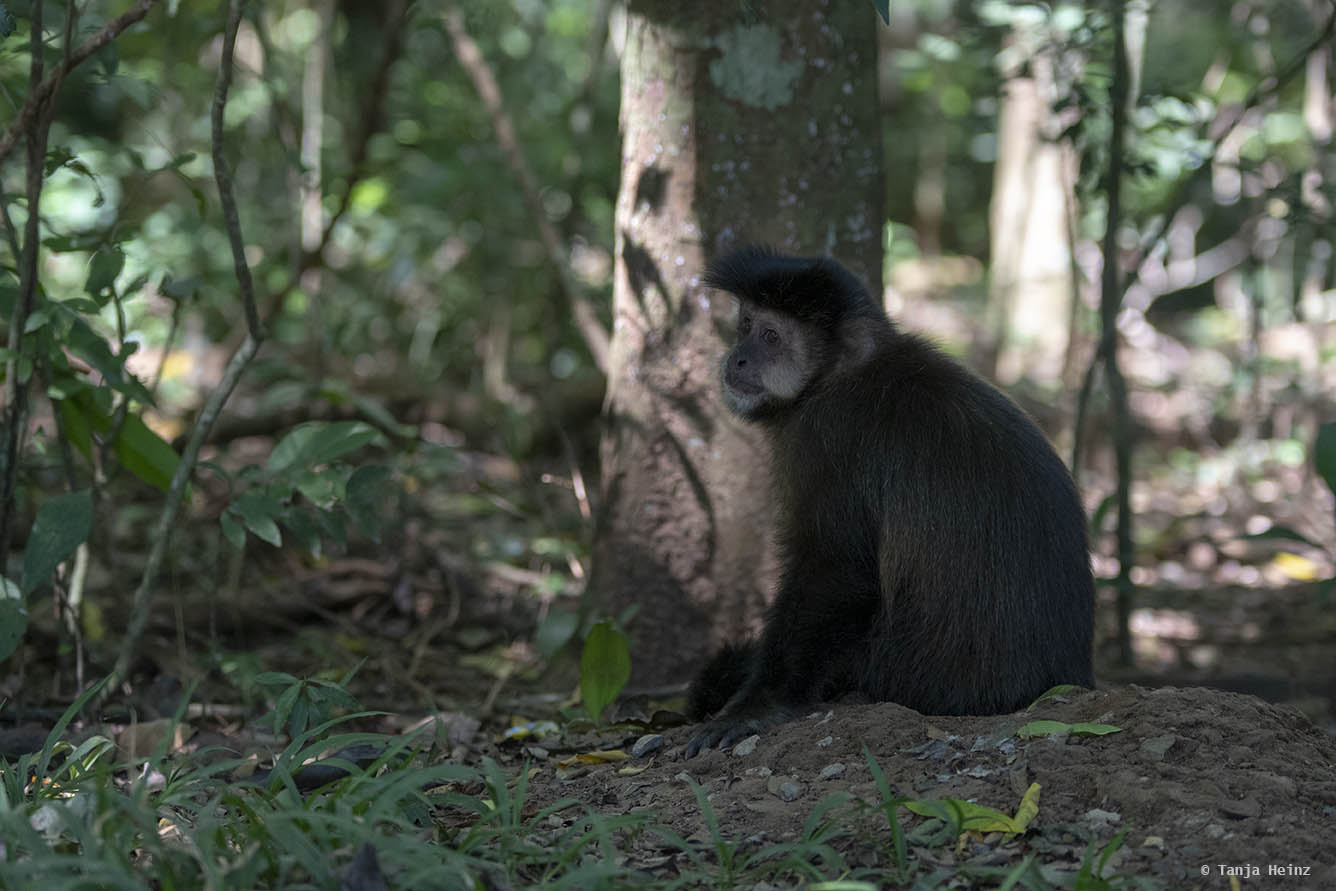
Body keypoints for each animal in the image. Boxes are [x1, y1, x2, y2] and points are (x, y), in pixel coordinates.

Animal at [684, 246, 1095, 757]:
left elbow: (836, 570)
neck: (840, 373)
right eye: (745, 325)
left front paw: (755, 707)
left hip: (906, 672)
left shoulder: (826, 434)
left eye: (771, 336)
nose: (737, 358)